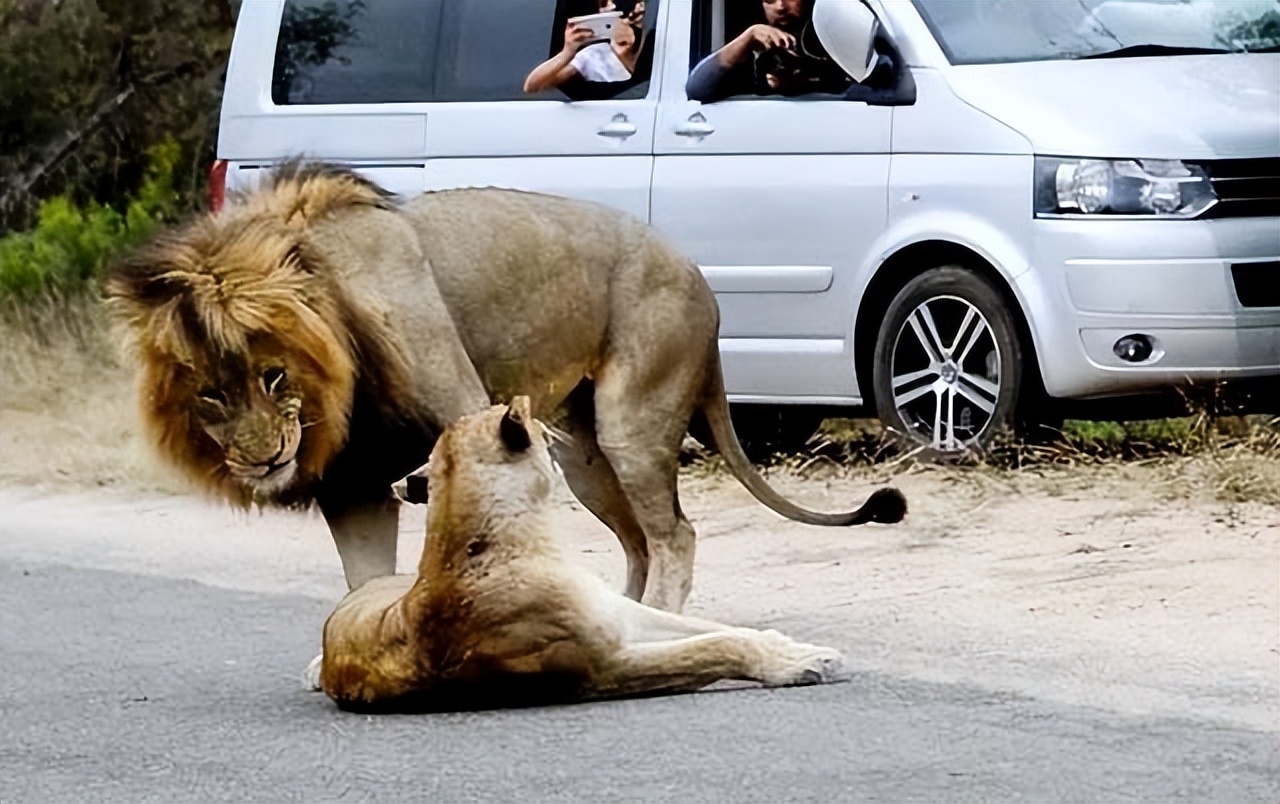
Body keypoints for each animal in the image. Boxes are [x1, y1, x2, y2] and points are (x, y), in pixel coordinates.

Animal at [108, 162, 906, 616]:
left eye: (273, 374)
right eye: (210, 396)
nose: (264, 458)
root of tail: (702, 281)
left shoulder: (472, 412)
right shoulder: (354, 480)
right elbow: (363, 577)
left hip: (632, 415)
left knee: (674, 533)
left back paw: (663, 618)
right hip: (585, 453)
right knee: (639, 541)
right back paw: (624, 616)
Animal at [321, 397, 846, 711]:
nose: (548, 424)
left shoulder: (621, 611)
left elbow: (712, 628)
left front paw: (786, 643)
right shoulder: (597, 669)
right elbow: (710, 648)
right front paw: (802, 662)